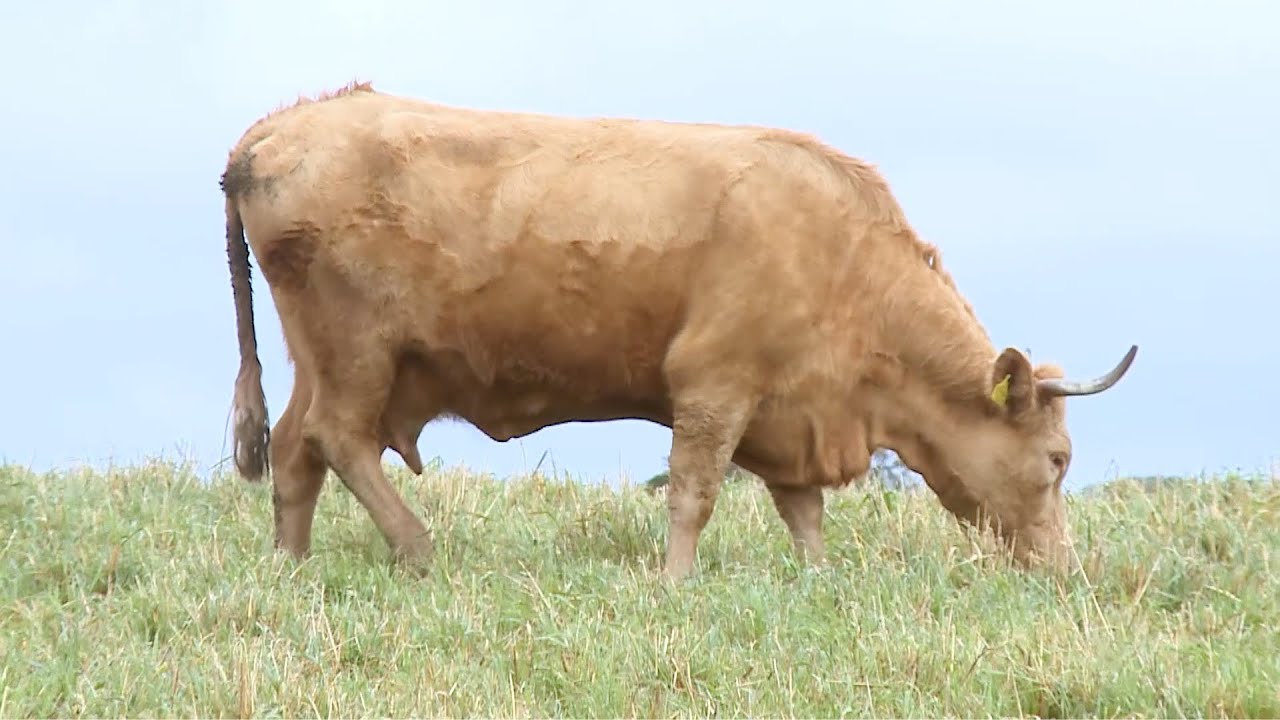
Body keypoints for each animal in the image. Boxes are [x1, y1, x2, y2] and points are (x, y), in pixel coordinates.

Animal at [220, 81, 1137, 579]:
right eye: (1057, 460)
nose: (1064, 570)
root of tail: (275, 130)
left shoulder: (787, 412)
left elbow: (802, 510)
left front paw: (820, 576)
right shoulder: (713, 386)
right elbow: (694, 493)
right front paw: (676, 580)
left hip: (321, 358)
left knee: (297, 450)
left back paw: (289, 564)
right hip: (358, 354)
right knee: (339, 439)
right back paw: (415, 547)